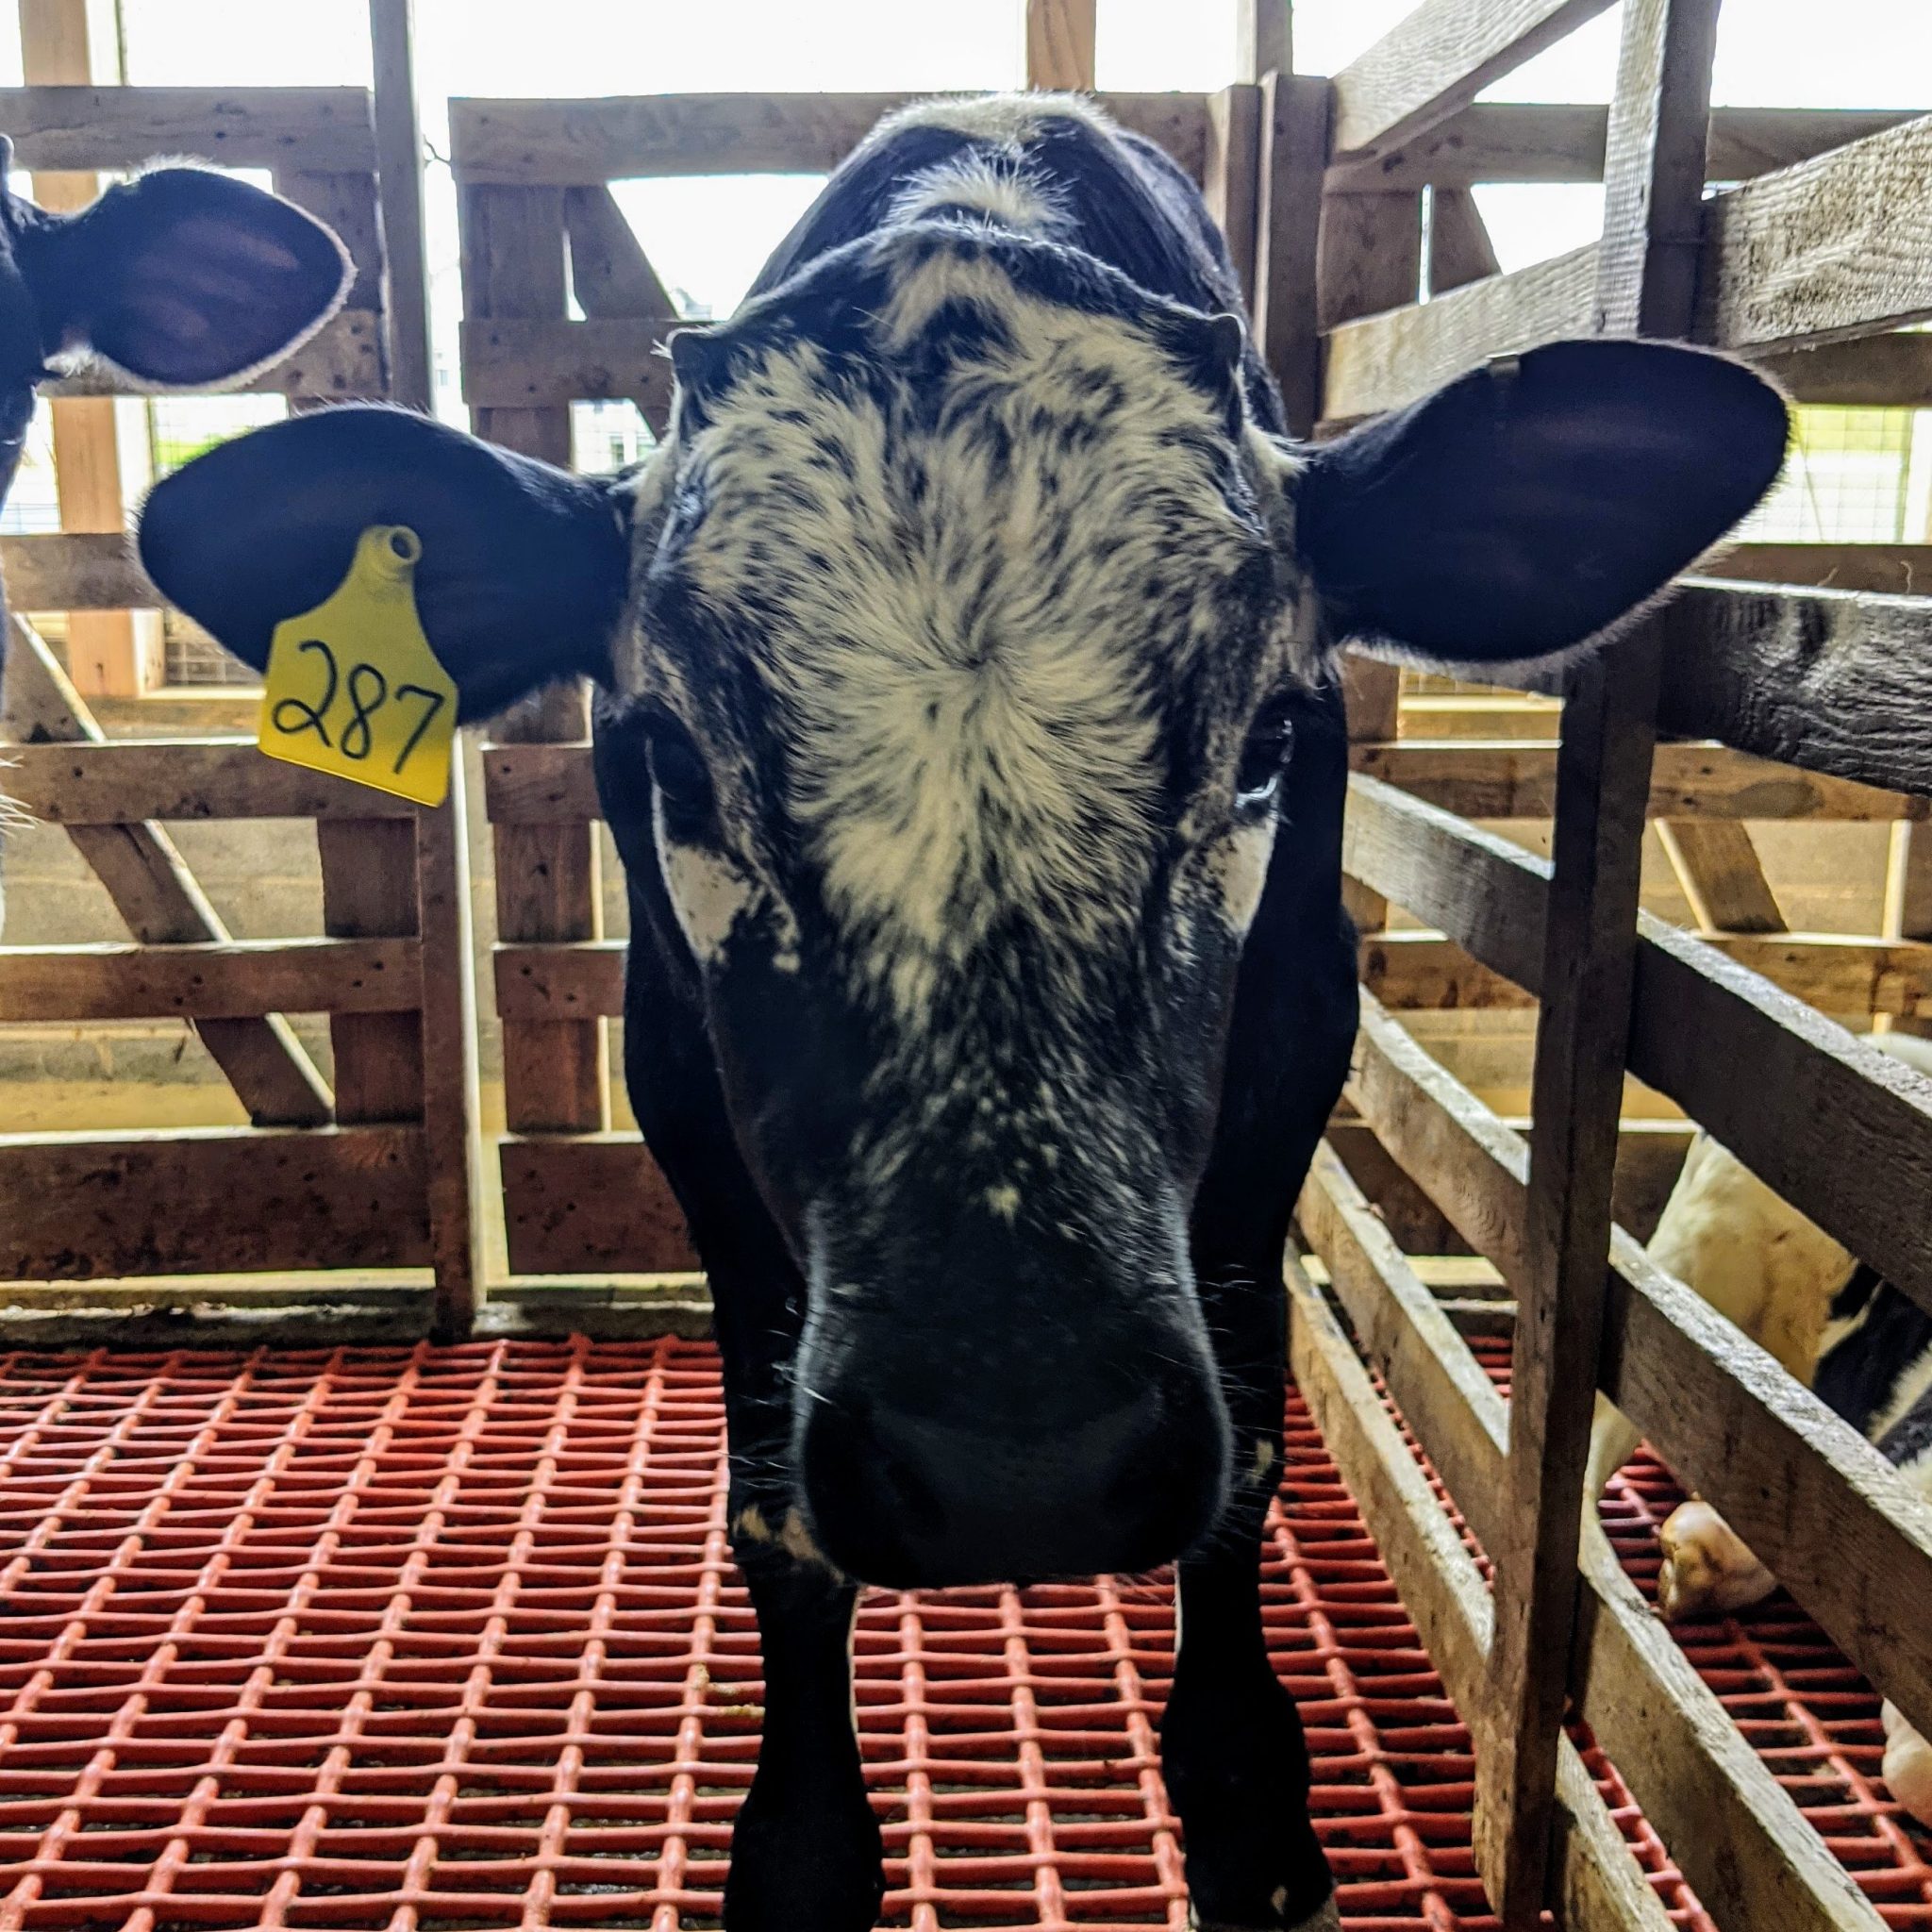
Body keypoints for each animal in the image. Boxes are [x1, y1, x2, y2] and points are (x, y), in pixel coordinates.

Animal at [135, 94, 1789, 1932]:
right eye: (667, 759)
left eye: (1271, 737)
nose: (1021, 1463)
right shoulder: (684, 1095)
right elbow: (775, 1509)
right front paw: (798, 1843)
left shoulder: (1296, 1047)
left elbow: (1250, 1448)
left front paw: (1245, 1794)